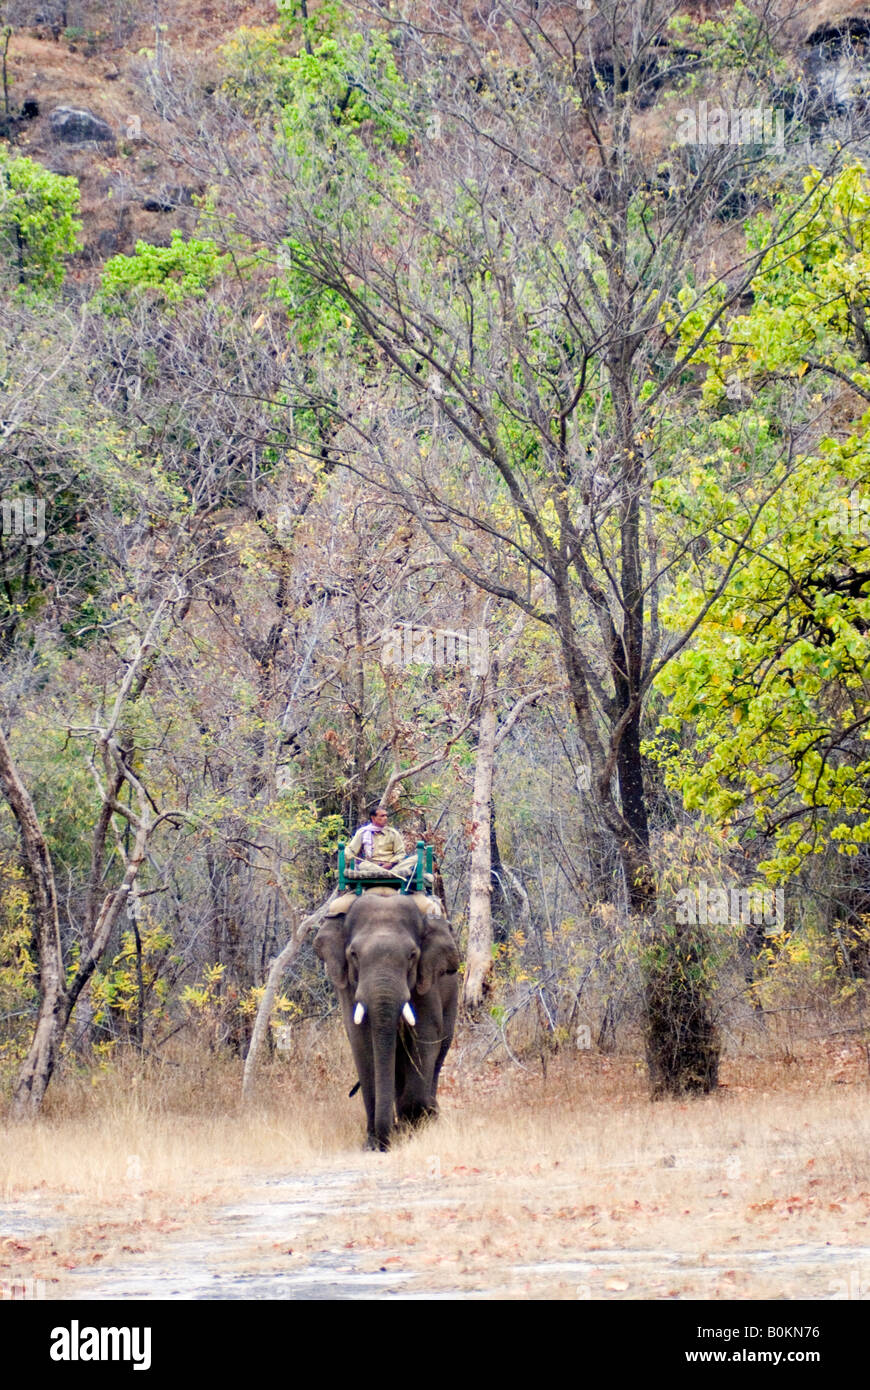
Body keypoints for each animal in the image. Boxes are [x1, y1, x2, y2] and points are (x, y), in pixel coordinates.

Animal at [314, 890, 460, 1151]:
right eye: (354, 955)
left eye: (412, 956)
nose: (385, 1142)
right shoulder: (348, 987)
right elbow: (361, 1040)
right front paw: (374, 1143)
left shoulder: (427, 981)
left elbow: (424, 1035)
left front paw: (413, 1132)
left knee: (438, 1053)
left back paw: (428, 1116)